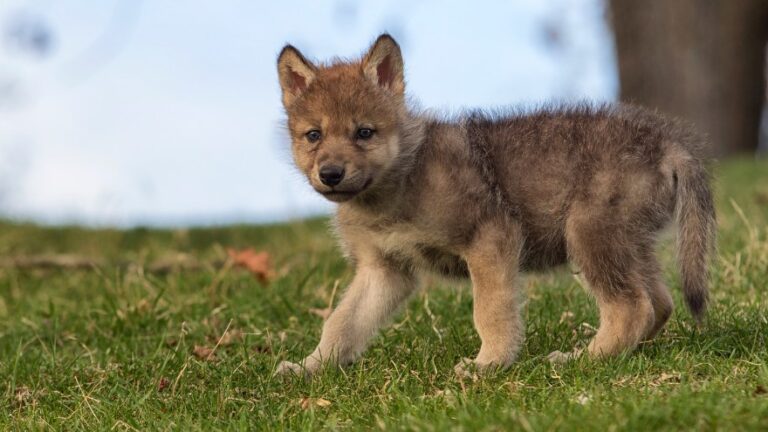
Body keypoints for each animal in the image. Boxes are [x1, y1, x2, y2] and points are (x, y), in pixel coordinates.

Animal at [274, 34, 715, 376]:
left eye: (364, 132)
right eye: (313, 135)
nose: (330, 174)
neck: (396, 186)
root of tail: (667, 144)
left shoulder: (490, 237)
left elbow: (489, 311)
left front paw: (489, 364)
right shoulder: (383, 270)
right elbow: (342, 322)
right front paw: (313, 366)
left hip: (589, 234)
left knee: (631, 307)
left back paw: (581, 360)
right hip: (629, 243)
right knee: (659, 303)